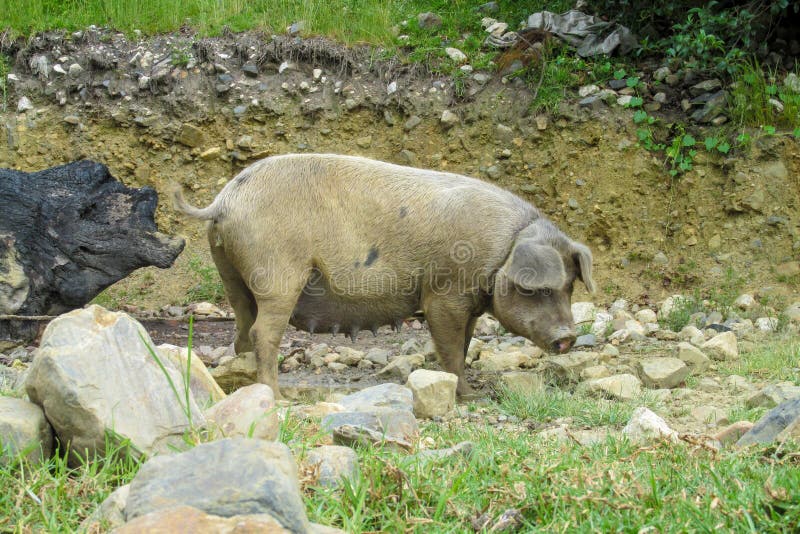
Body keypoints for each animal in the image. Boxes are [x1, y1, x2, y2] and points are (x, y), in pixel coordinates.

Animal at [173, 154, 595, 397]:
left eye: (570, 286)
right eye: (538, 290)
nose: (569, 337)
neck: (500, 252)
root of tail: (224, 200)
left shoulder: (471, 305)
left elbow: (463, 344)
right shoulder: (443, 296)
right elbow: (450, 348)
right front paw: (470, 396)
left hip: (229, 271)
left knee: (242, 326)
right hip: (278, 272)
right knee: (264, 331)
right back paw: (277, 398)